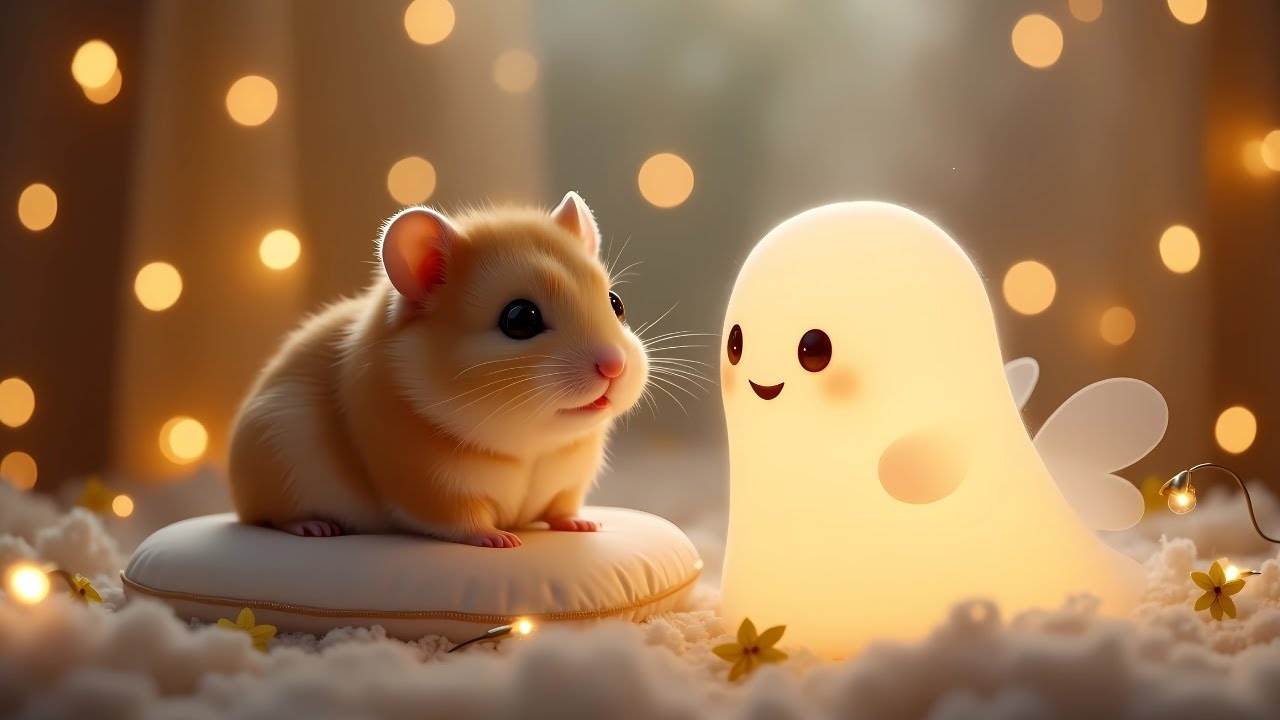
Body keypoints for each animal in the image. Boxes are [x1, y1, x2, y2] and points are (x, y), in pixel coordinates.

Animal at [228, 191, 649, 548]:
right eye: (519, 318)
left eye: (615, 302)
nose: (614, 366)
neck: (529, 448)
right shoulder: (431, 485)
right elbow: (464, 521)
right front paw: (503, 540)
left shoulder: (569, 483)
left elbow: (562, 508)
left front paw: (586, 524)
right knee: (268, 518)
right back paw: (315, 527)